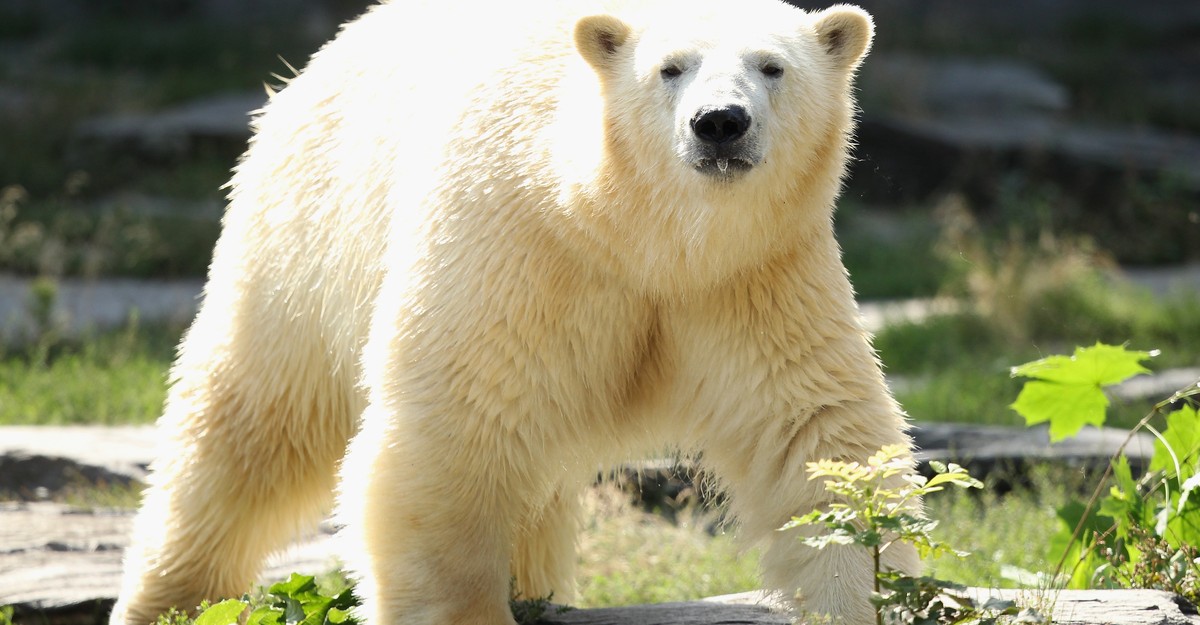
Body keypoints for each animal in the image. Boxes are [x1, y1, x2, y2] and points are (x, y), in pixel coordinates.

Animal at [109, 1, 918, 624]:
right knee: (248, 423)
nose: (720, 122)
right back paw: (167, 596)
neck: (636, 233)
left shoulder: (754, 276)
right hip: (304, 229)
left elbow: (817, 438)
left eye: (772, 66)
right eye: (671, 67)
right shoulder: (518, 250)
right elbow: (460, 427)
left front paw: (870, 595)